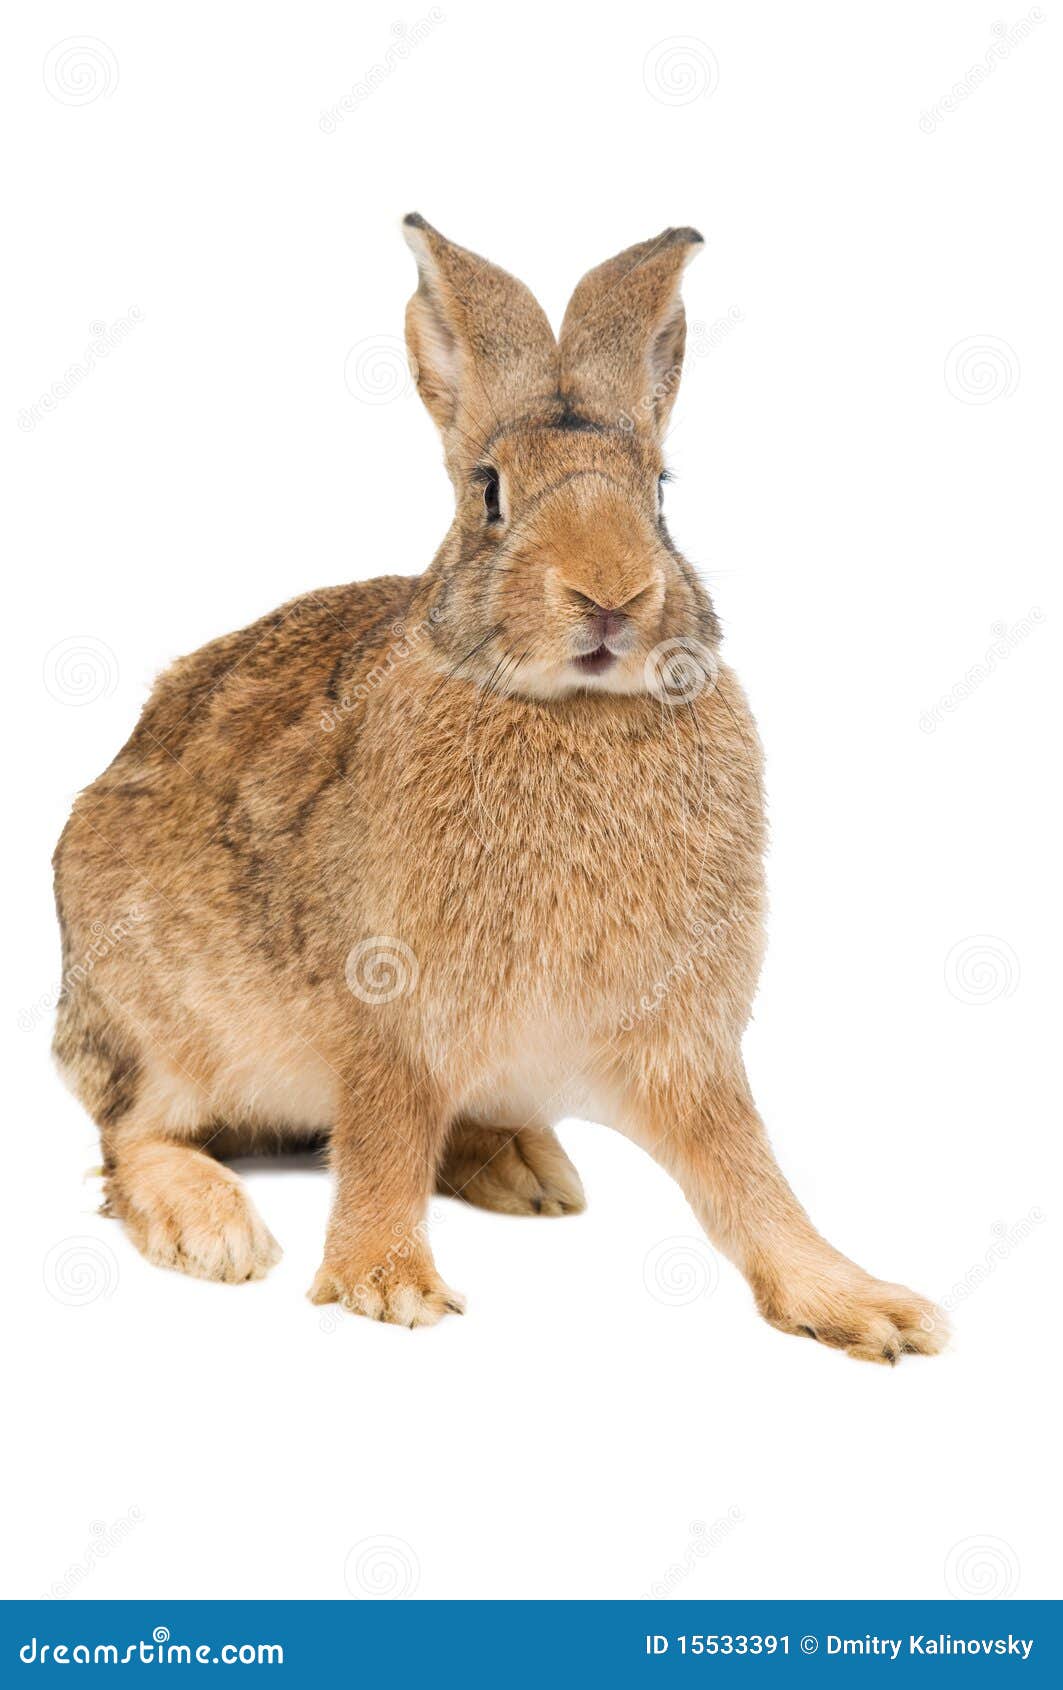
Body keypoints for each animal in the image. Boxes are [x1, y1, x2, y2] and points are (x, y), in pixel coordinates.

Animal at [52, 214, 946, 1361]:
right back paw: (211, 1225)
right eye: (489, 492)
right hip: (154, 1016)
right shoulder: (390, 1014)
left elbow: (747, 1175)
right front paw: (387, 1283)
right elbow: (383, 1143)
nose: (610, 596)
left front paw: (860, 1301)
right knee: (129, 1136)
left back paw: (526, 1169)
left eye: (659, 492)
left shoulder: (682, 1043)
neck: (572, 711)